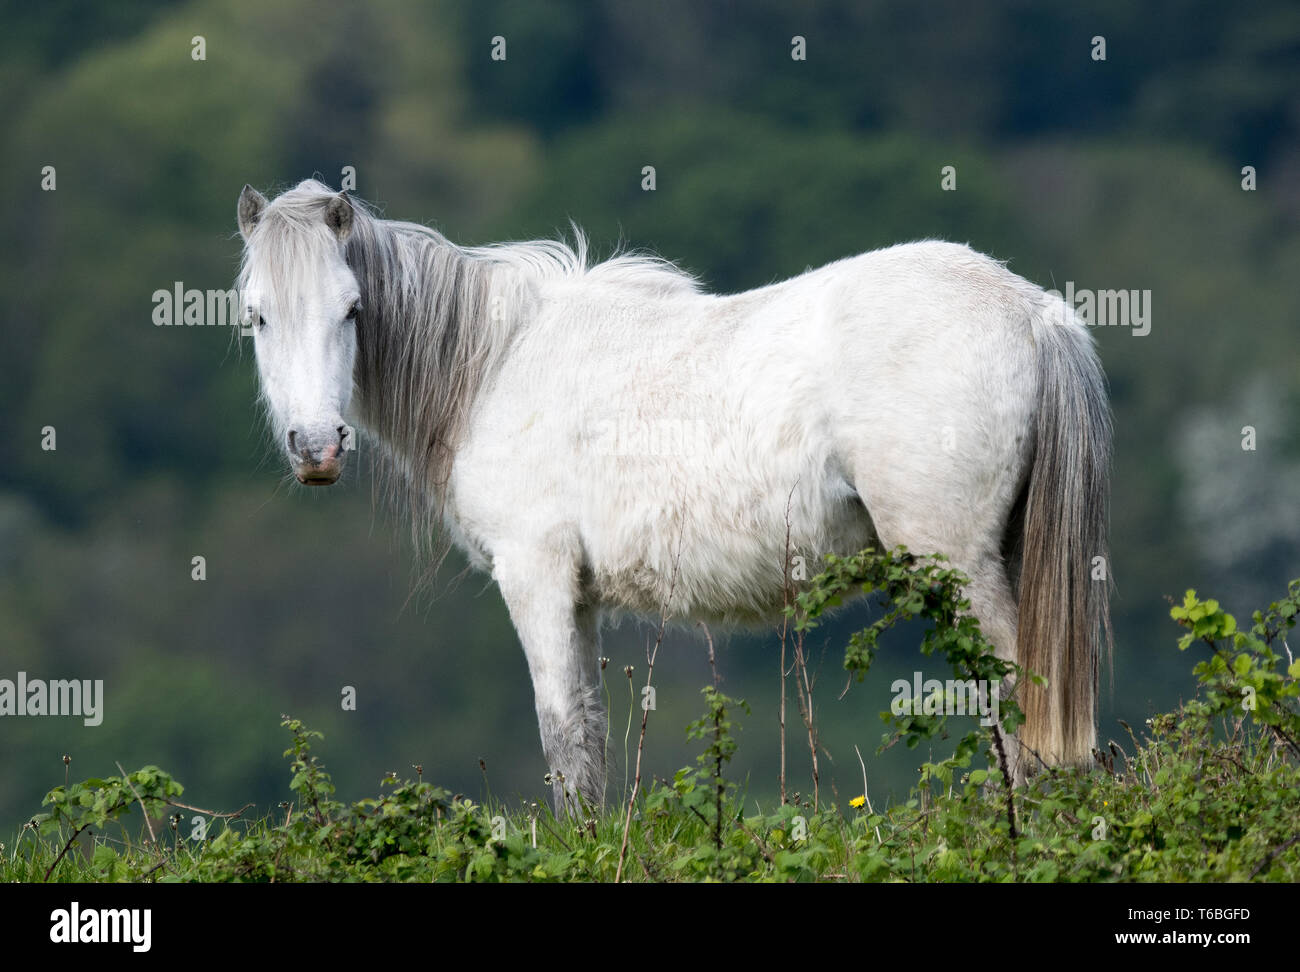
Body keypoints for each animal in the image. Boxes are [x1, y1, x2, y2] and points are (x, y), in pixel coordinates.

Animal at [235, 179, 1112, 809]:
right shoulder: (578, 596)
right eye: (256, 317)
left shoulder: (535, 576)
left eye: (352, 309)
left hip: (954, 564)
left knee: (1019, 697)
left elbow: (564, 738)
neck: (495, 362)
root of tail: (1035, 313)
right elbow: (589, 735)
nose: (316, 448)